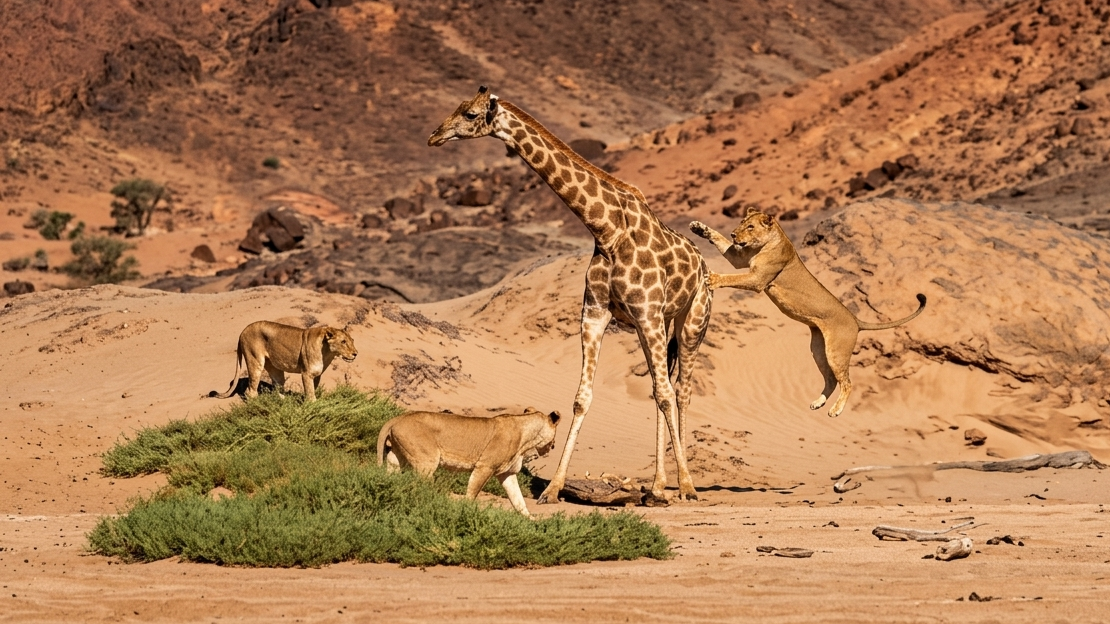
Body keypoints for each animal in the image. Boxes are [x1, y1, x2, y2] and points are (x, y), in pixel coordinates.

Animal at [211, 321, 358, 402]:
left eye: (352, 340)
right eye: (343, 342)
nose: (355, 354)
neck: (327, 353)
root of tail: (243, 331)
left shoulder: (317, 375)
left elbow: (313, 390)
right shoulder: (306, 373)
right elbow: (310, 393)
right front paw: (313, 406)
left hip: (275, 368)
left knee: (277, 388)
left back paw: (284, 403)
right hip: (255, 361)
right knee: (250, 391)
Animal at [376, 408, 561, 517]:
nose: (553, 445)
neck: (527, 437)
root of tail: (397, 418)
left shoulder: (507, 473)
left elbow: (518, 500)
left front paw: (530, 521)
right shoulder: (484, 467)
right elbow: (472, 493)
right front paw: (465, 512)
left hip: (396, 458)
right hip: (426, 462)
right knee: (419, 488)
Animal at [429, 86, 712, 503]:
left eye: (469, 114)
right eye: (458, 108)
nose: (434, 135)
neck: (607, 229)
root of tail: (704, 266)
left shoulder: (644, 311)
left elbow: (666, 395)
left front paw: (689, 486)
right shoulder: (596, 312)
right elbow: (582, 398)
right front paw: (553, 488)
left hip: (690, 321)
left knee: (680, 392)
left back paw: (681, 484)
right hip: (655, 327)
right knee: (660, 389)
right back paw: (659, 486)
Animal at [690, 212, 925, 417]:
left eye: (750, 227)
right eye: (741, 223)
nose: (734, 235)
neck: (765, 245)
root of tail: (855, 320)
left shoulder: (757, 279)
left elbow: (731, 278)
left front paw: (713, 278)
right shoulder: (740, 259)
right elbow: (720, 241)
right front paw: (699, 228)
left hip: (836, 352)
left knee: (847, 382)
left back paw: (835, 410)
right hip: (819, 350)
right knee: (831, 379)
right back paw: (818, 403)